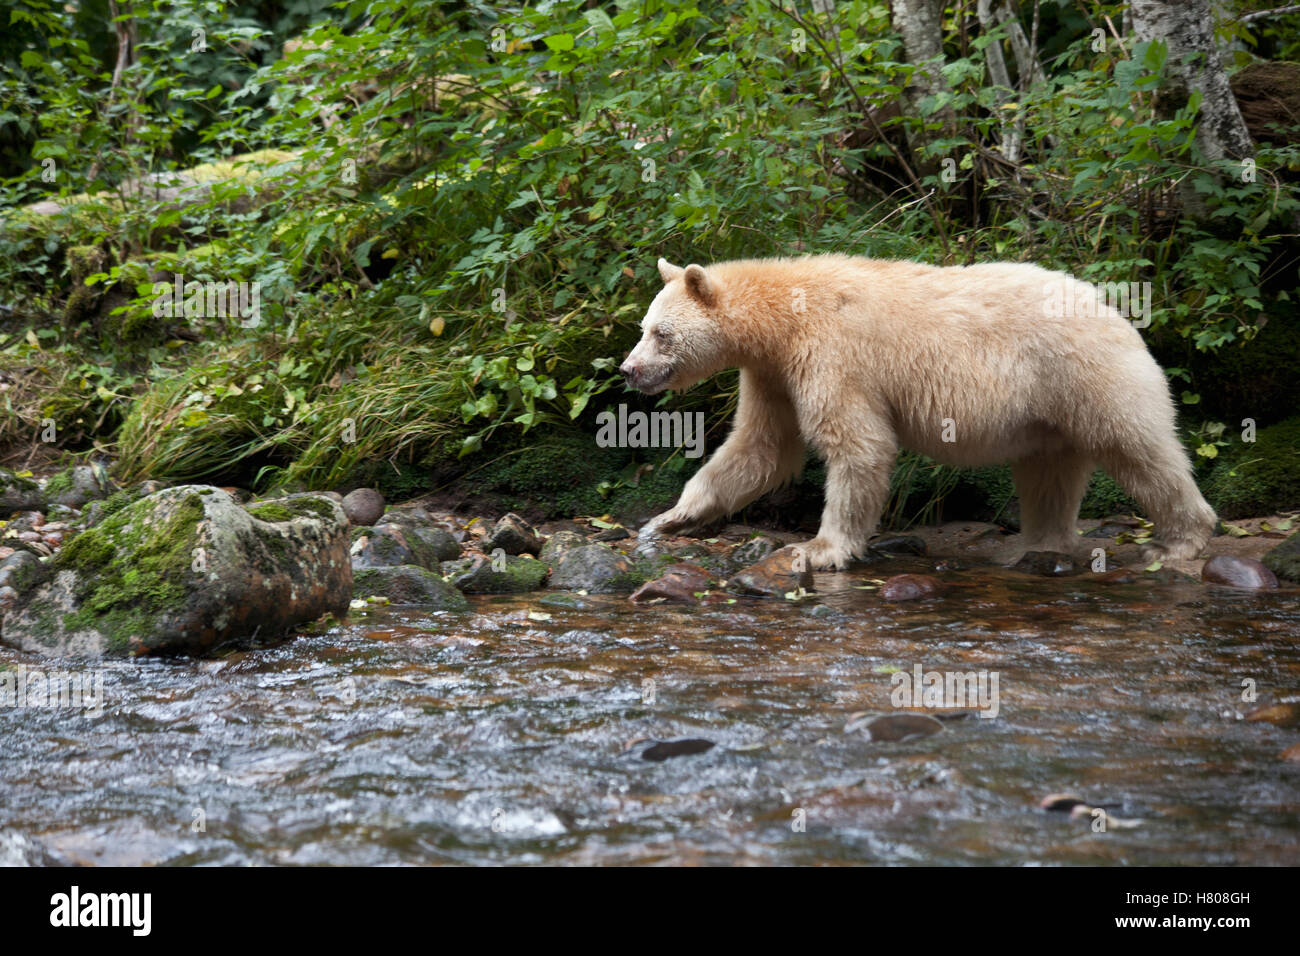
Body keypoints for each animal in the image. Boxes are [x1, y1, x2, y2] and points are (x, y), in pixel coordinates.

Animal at [619, 254, 1217, 571]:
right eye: (644, 327)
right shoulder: (773, 375)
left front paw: (821, 548)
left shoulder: (833, 355)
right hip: (1049, 411)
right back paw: (1038, 543)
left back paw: (1183, 537)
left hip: (1086, 375)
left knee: (1139, 448)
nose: (628, 370)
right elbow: (759, 447)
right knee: (1050, 475)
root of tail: (1115, 309)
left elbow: (857, 444)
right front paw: (672, 516)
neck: (783, 318)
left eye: (660, 333)